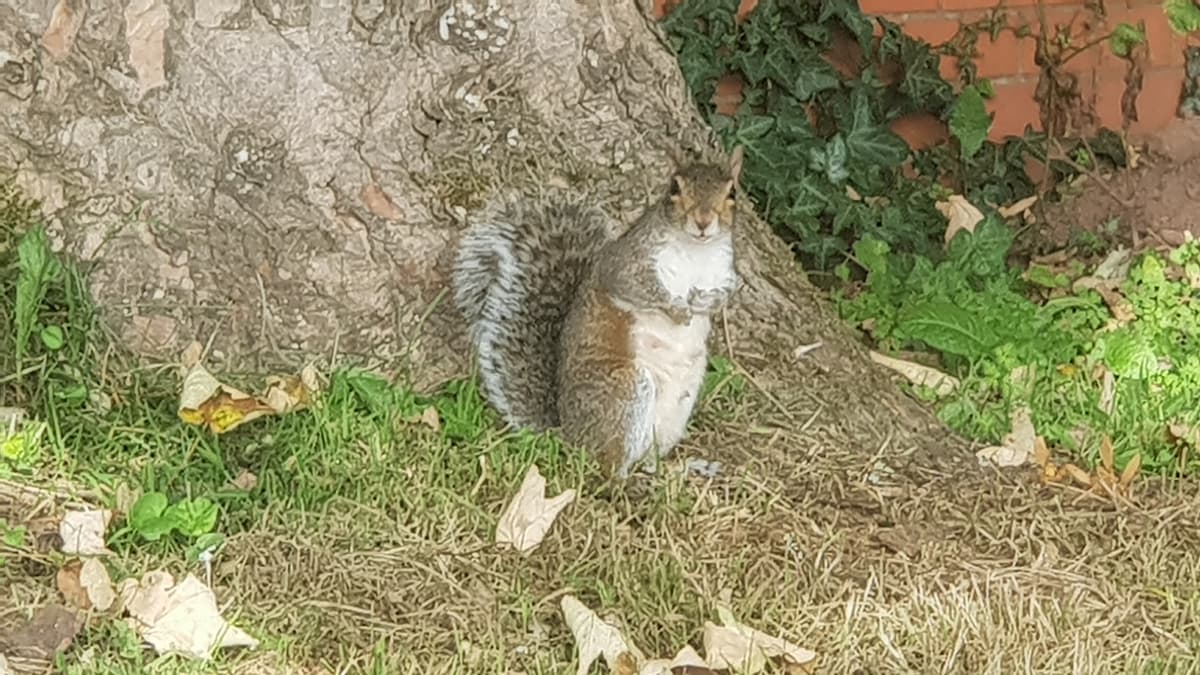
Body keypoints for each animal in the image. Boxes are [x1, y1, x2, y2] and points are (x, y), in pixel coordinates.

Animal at [451, 146, 744, 478]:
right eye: (674, 187)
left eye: (732, 192)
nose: (703, 221)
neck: (697, 251)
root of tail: (569, 436)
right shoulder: (624, 263)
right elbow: (636, 287)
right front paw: (678, 307)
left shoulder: (725, 271)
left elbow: (728, 292)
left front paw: (707, 302)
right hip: (626, 391)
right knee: (609, 464)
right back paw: (626, 478)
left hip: (677, 410)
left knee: (648, 461)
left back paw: (679, 470)